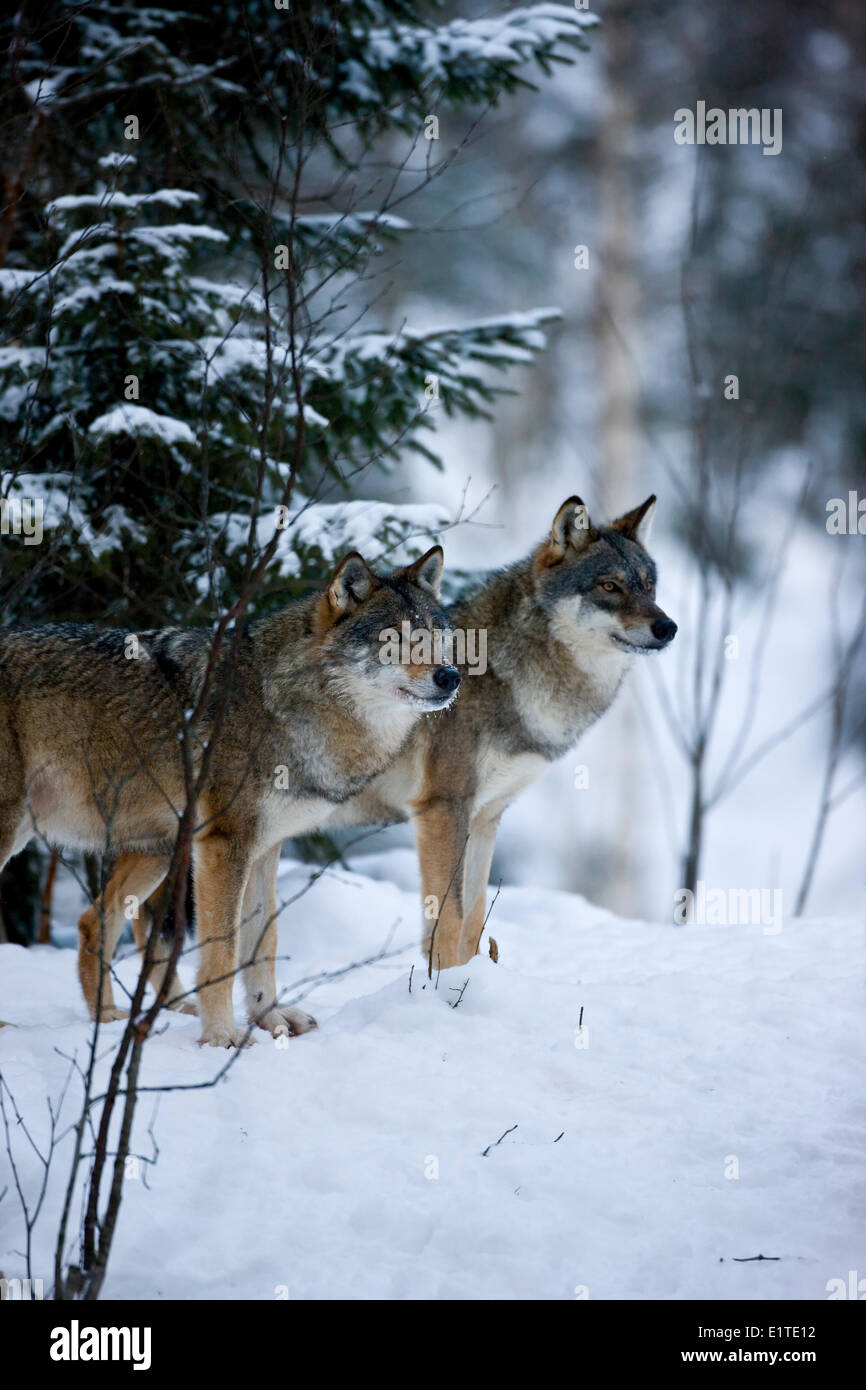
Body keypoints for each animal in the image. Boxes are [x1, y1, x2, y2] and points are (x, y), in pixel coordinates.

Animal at [0, 547, 459, 1045]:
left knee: (93, 923)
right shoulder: (225, 846)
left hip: (157, 852)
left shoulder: (264, 850)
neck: (284, 704)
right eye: (394, 638)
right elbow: (222, 949)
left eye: (438, 637)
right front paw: (222, 1038)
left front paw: (271, 1017)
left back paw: (107, 1021)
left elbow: (264, 943)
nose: (451, 676)